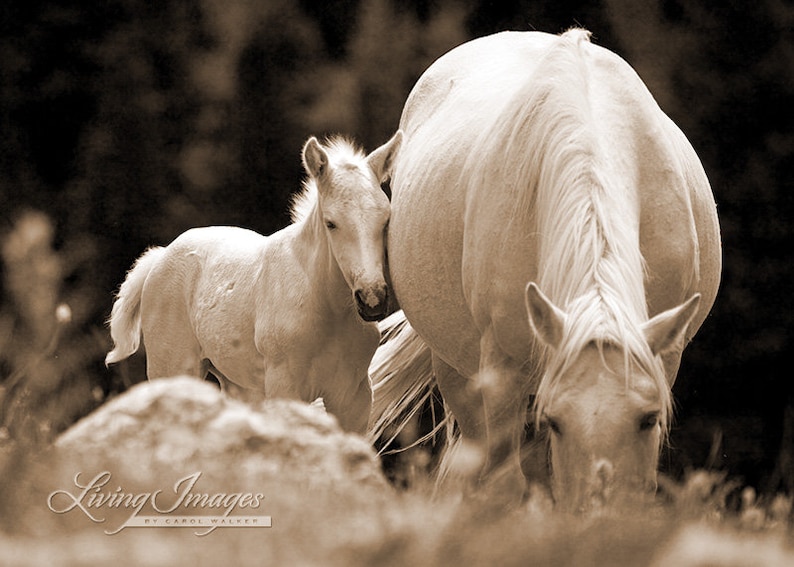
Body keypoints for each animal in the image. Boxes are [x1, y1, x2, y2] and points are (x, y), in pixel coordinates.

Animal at [105, 132, 402, 434]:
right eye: (331, 223)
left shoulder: (353, 397)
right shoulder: (285, 387)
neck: (326, 306)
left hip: (239, 384)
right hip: (173, 369)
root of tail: (161, 256)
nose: (372, 299)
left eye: (385, 220)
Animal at [368, 29, 721, 511]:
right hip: (458, 372)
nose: (599, 517)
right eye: (555, 421)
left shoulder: (663, 358)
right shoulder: (502, 369)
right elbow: (503, 485)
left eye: (648, 419)